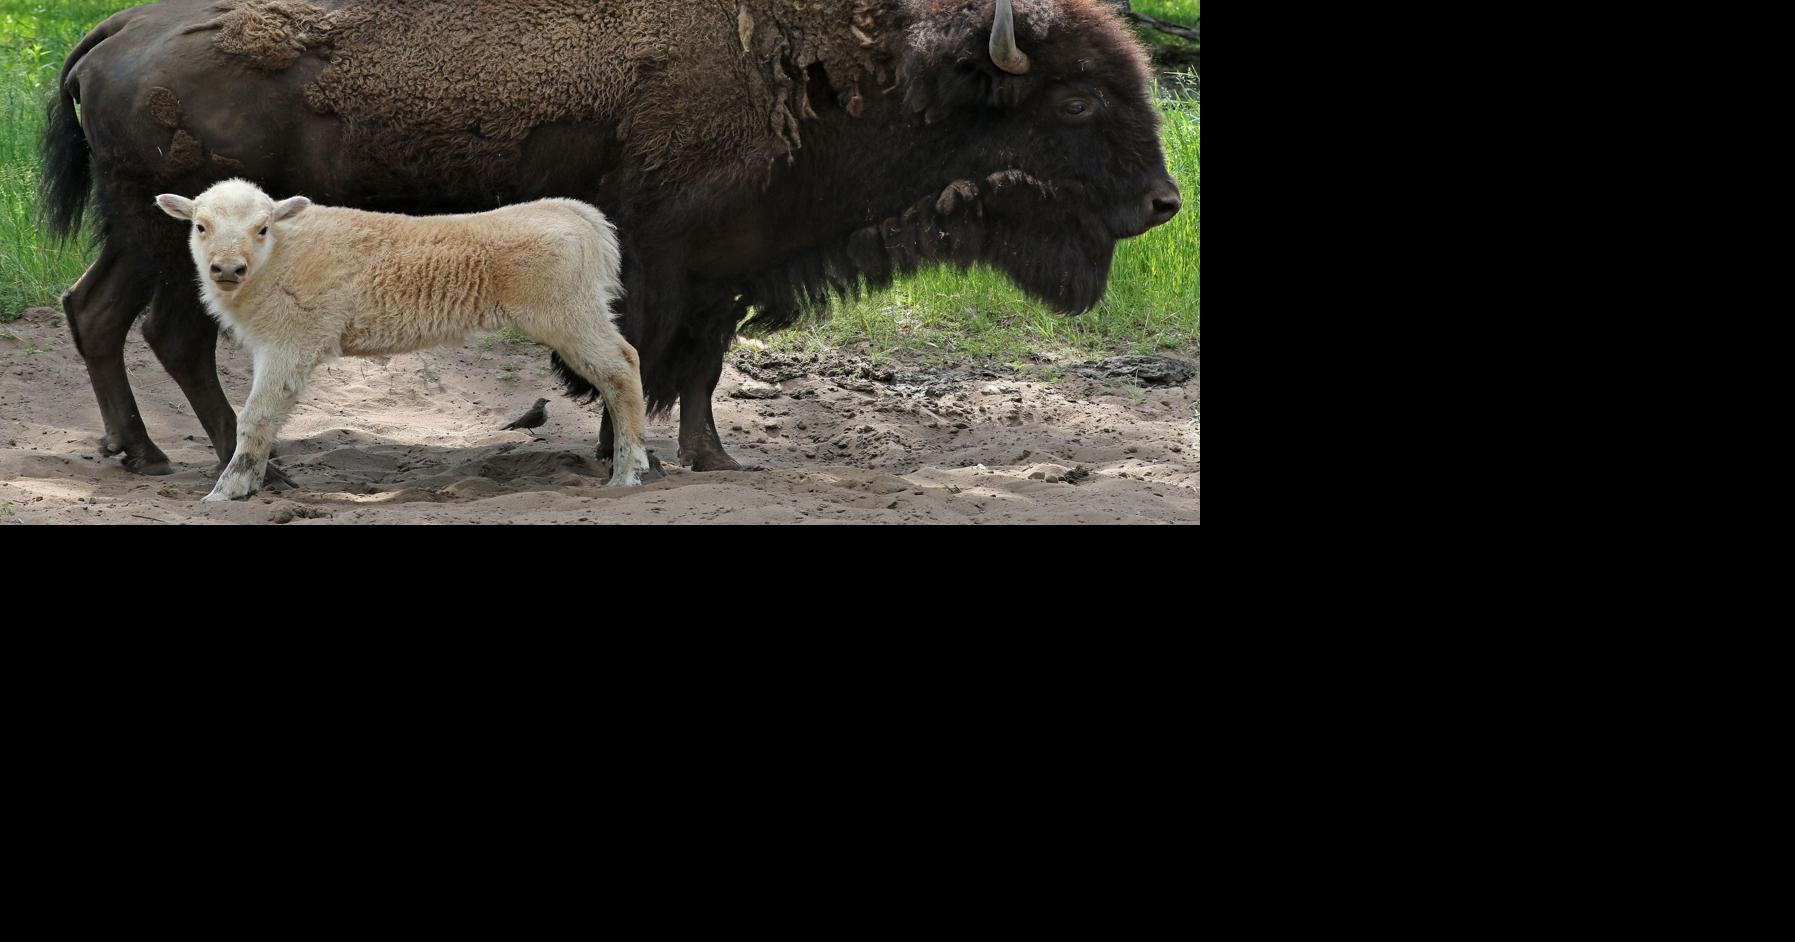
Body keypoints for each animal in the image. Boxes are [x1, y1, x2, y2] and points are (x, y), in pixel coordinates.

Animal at [43, 0, 1181, 477]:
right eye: (1079, 98)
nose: (1166, 203)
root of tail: (116, 31)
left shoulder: (727, 270)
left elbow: (697, 369)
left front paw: (709, 458)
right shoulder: (675, 261)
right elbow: (649, 360)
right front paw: (629, 453)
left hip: (148, 233)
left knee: (101, 317)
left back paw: (157, 453)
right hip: (180, 240)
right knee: (158, 332)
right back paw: (219, 463)